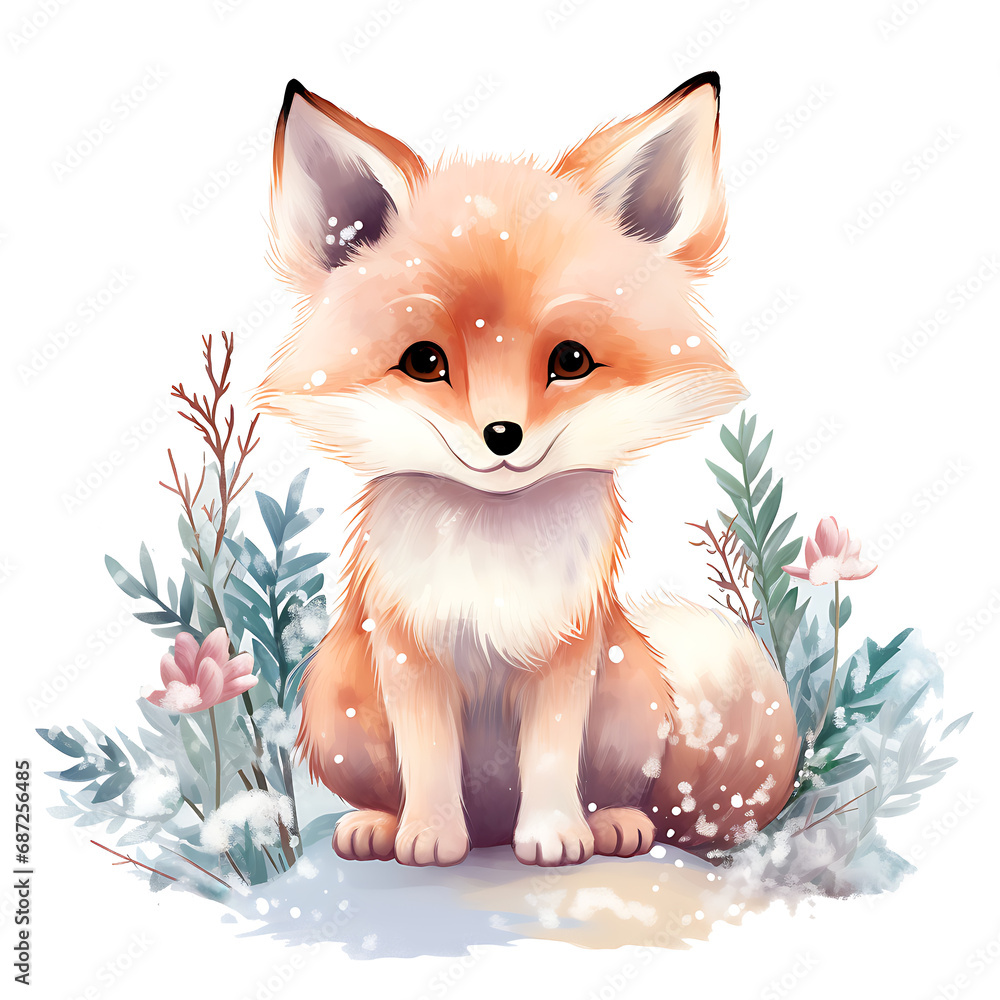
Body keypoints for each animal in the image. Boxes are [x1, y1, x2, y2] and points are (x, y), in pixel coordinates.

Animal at [254, 72, 799, 867]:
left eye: (570, 360)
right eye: (425, 360)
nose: (502, 435)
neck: (493, 556)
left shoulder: (566, 650)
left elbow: (548, 759)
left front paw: (552, 836)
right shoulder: (410, 652)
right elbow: (428, 760)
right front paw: (428, 837)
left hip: (630, 696)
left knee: (627, 795)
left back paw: (612, 825)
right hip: (337, 702)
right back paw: (379, 826)